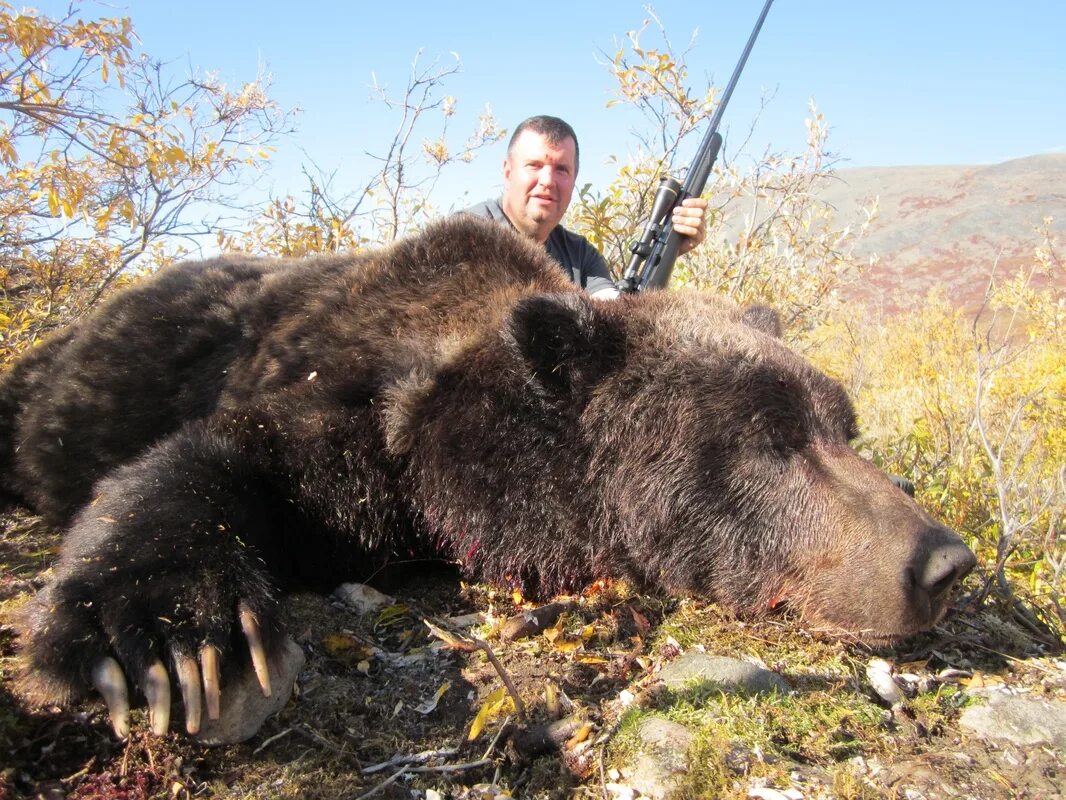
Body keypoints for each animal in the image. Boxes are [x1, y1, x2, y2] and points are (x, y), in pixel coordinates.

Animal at [0, 213, 976, 738]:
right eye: (770, 440)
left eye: (844, 428)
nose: (945, 562)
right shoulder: (356, 419)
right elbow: (219, 458)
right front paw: (167, 637)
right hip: (52, 385)